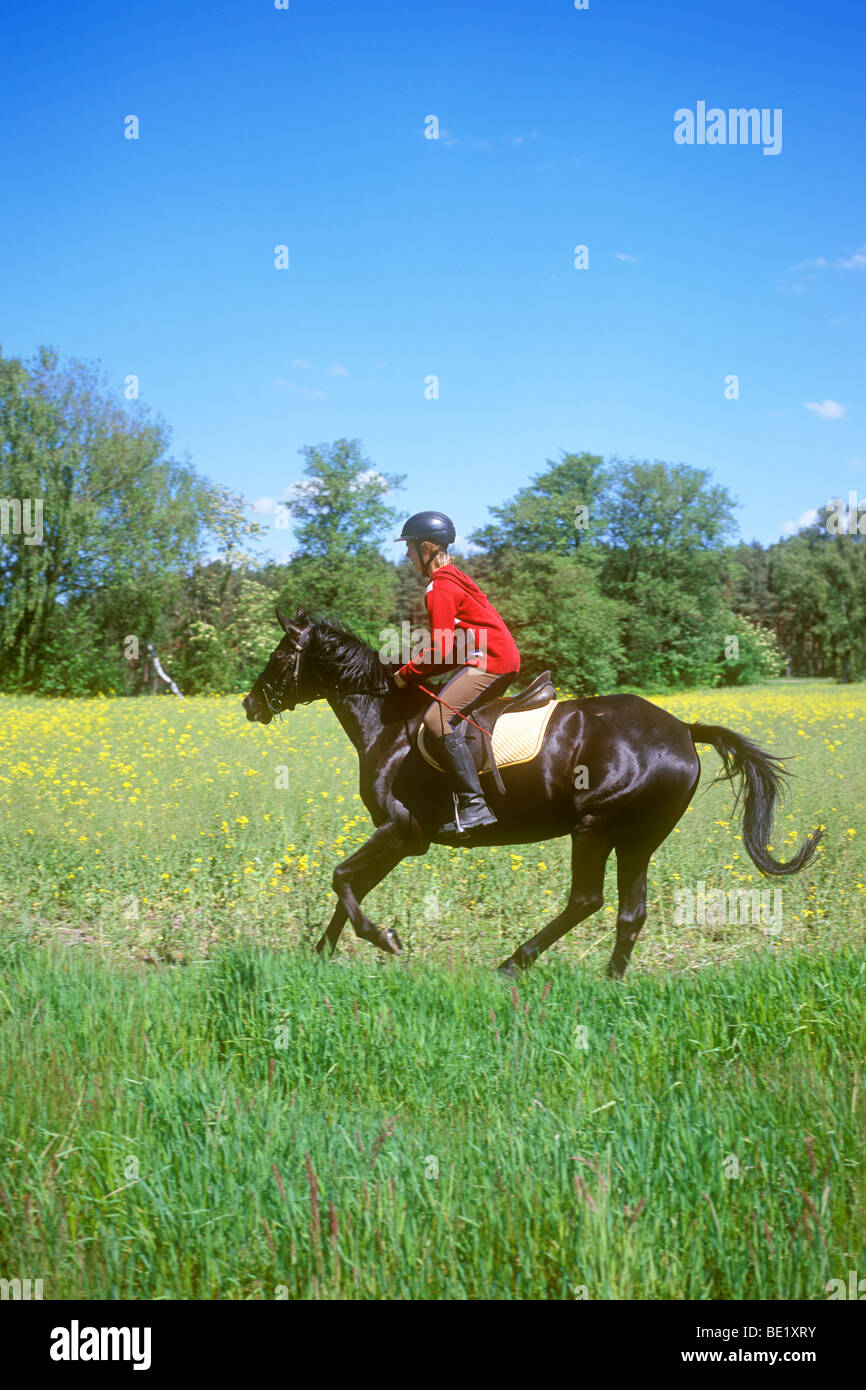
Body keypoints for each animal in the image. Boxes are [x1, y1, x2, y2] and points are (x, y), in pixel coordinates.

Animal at [242, 608, 822, 978]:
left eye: (280, 656)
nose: (250, 704)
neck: (386, 722)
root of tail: (683, 727)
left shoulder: (401, 831)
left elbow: (342, 879)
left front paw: (383, 939)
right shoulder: (402, 839)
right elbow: (350, 888)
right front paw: (321, 953)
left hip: (595, 827)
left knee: (586, 900)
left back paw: (513, 963)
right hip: (639, 837)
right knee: (629, 912)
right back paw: (611, 980)